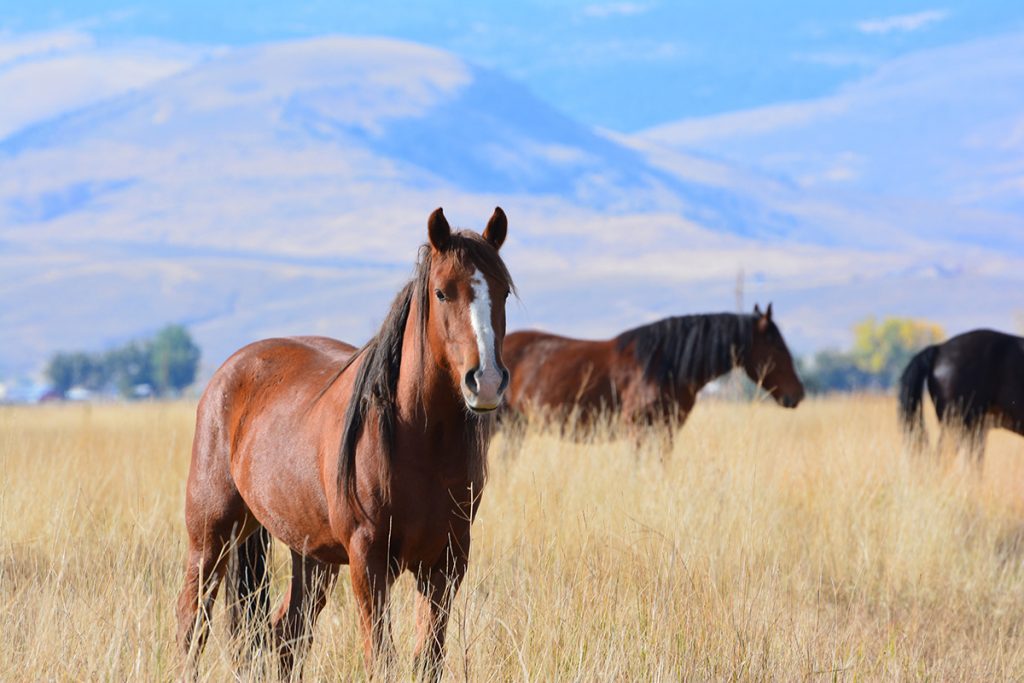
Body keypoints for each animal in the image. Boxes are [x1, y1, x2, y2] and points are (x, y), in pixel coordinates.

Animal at [176, 207, 514, 681]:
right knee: (192, 622)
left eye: (502, 292)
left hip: (311, 556)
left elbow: (428, 659)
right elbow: (382, 659)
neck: (419, 440)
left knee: (286, 633)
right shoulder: (368, 561)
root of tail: (229, 371)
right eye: (442, 293)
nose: (486, 381)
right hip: (212, 536)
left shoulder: (445, 564)